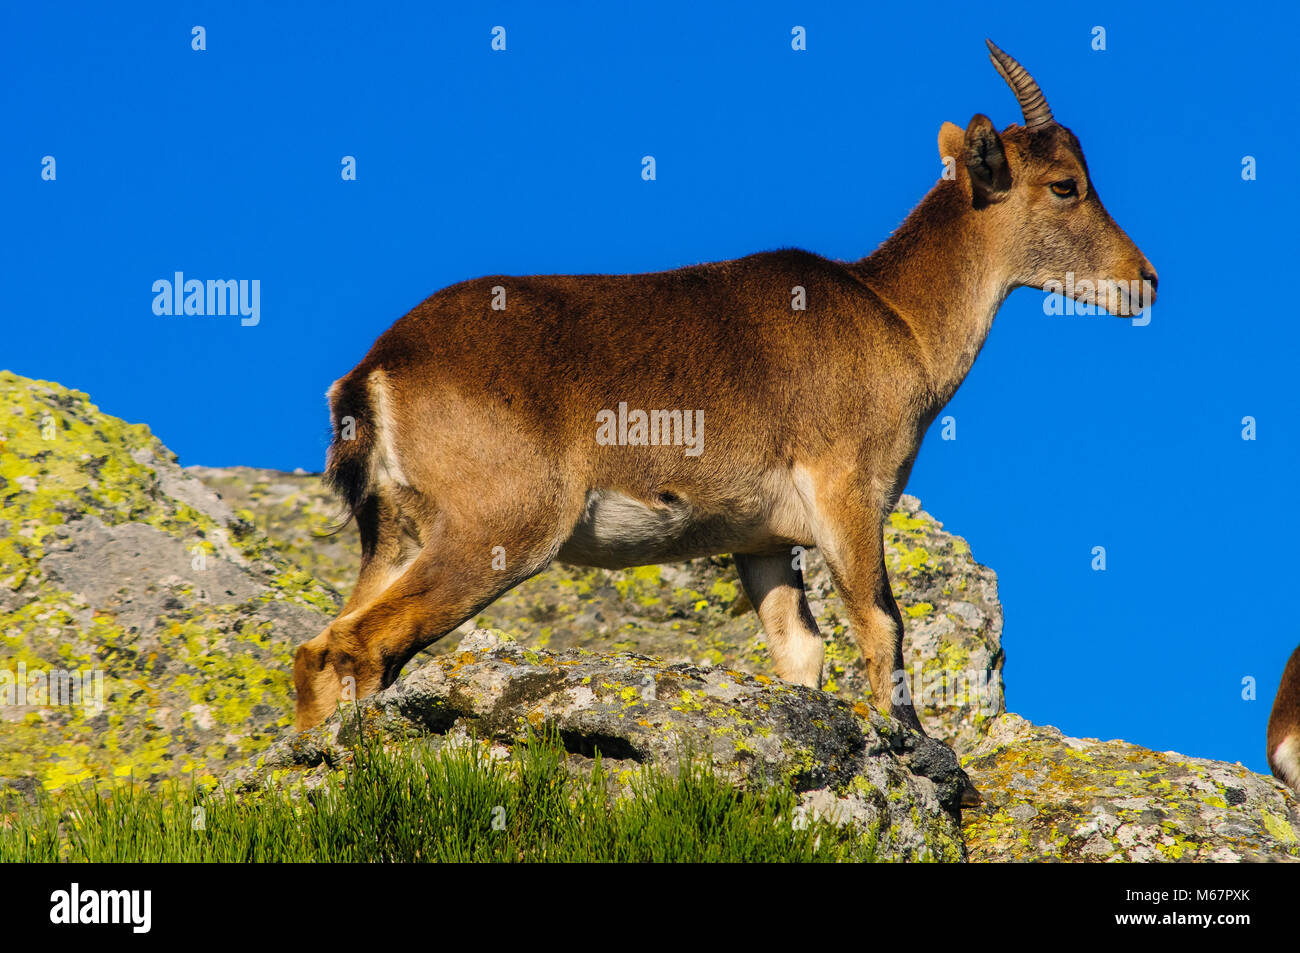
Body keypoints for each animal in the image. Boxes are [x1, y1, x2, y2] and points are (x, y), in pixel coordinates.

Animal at [294, 41, 1157, 742]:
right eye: (1066, 185)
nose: (1143, 280)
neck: (895, 317)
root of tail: (376, 370)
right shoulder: (847, 493)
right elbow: (881, 625)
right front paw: (920, 754)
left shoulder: (762, 538)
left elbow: (802, 648)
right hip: (500, 525)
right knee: (362, 641)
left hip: (396, 534)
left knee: (316, 648)